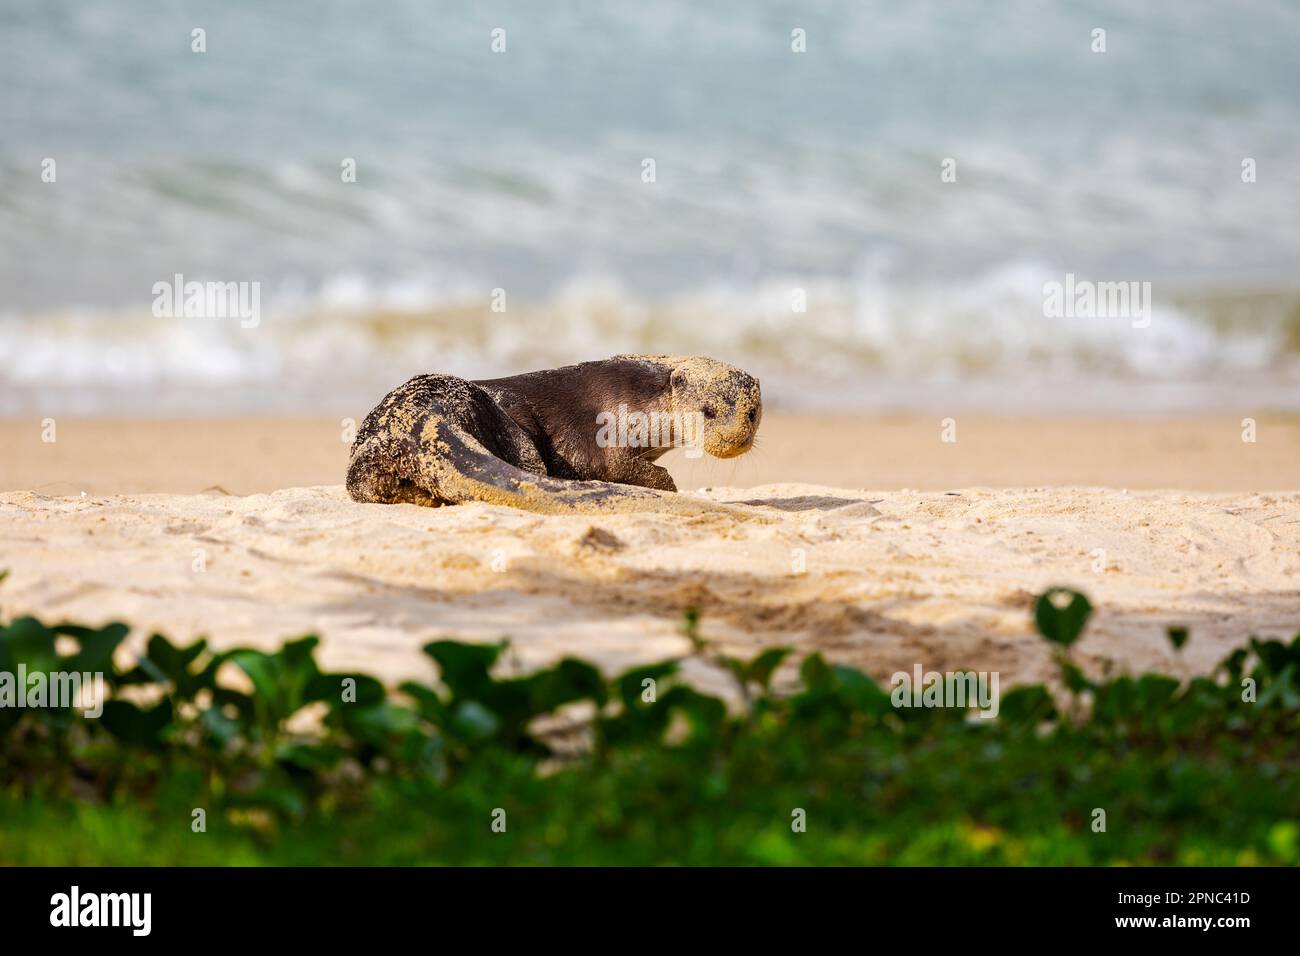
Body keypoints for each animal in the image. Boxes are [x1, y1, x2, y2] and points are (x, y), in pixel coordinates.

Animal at [346, 355, 762, 513]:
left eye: (753, 413)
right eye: (707, 412)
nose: (735, 439)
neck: (639, 395)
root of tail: (420, 416)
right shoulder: (601, 438)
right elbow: (619, 469)